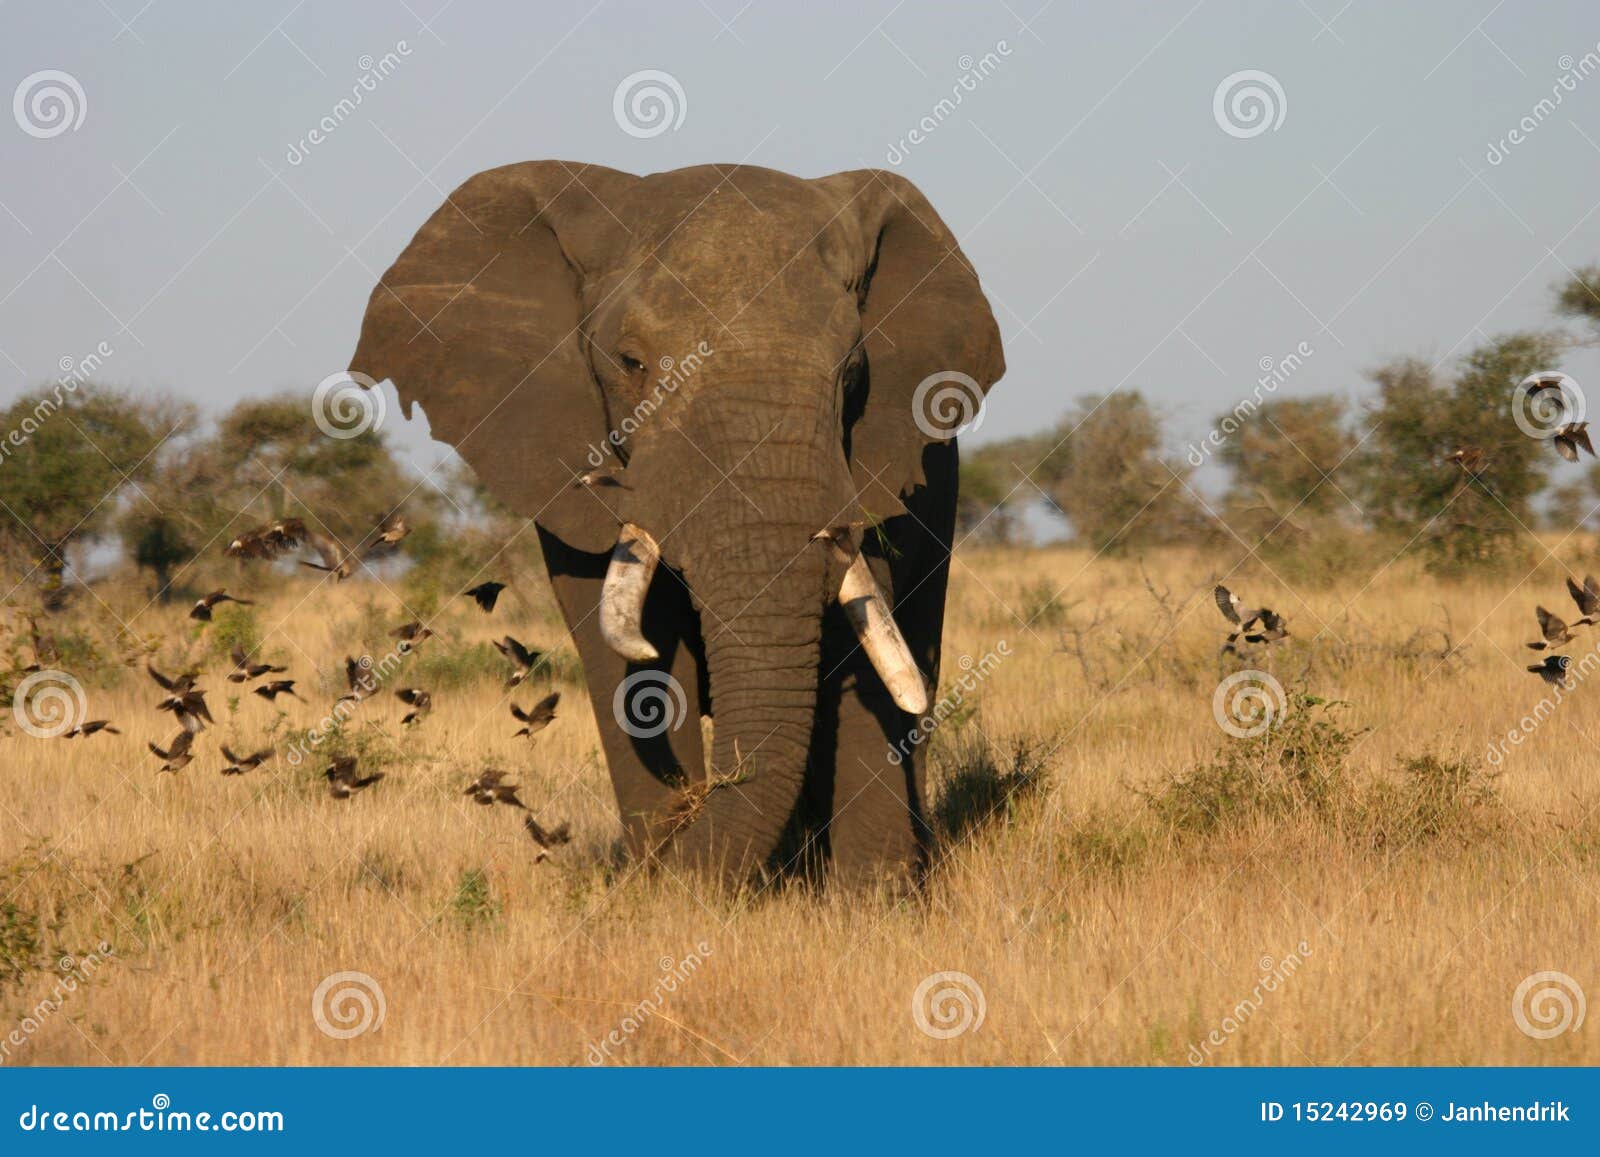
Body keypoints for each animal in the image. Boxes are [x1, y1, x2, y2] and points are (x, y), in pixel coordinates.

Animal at [348, 161, 1004, 888]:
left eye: (853, 372)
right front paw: (662, 891)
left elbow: (856, 640)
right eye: (631, 364)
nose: (681, 846)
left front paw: (873, 898)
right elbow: (630, 653)